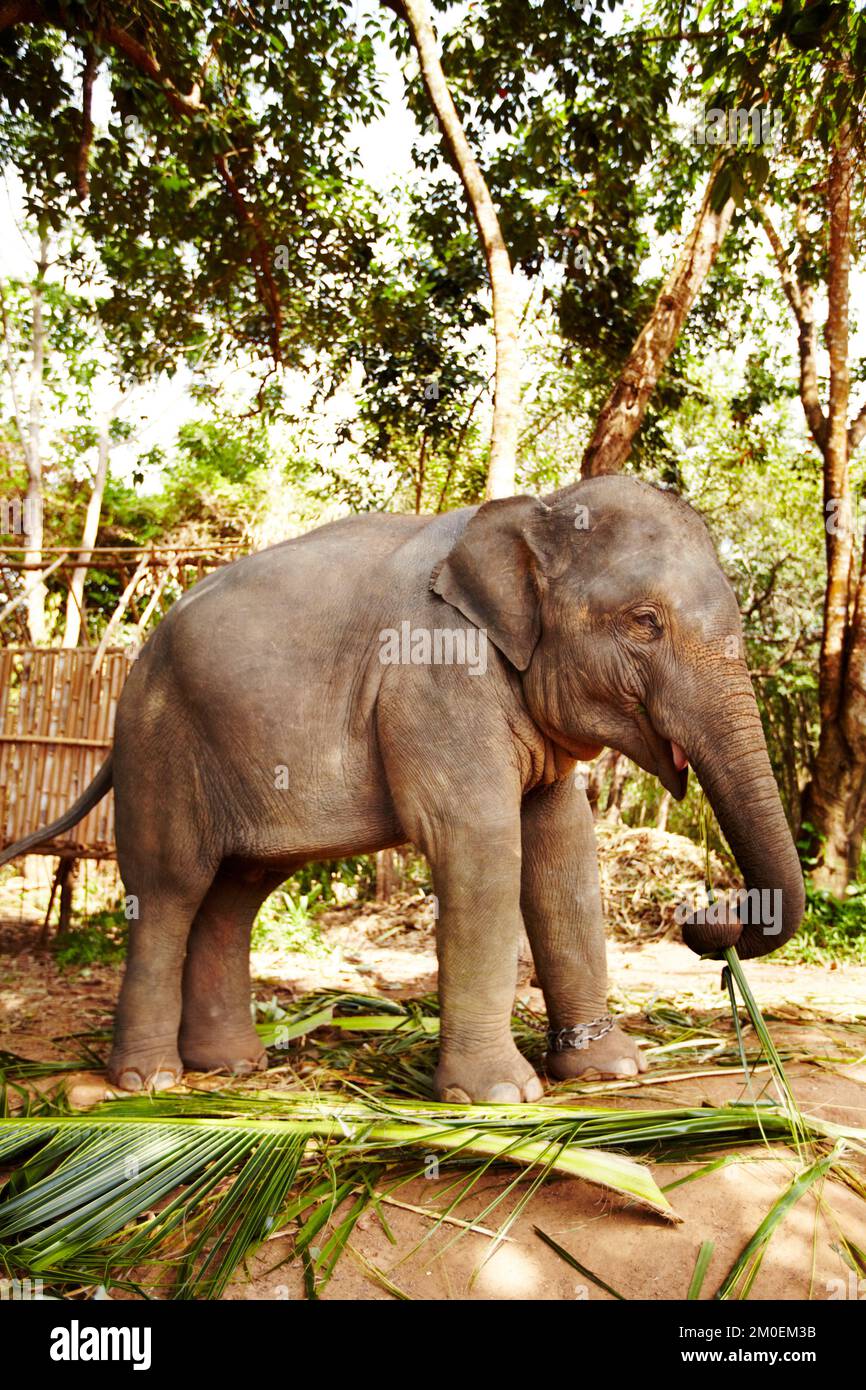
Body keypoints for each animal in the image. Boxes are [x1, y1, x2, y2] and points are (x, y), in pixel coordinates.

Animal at [0, 475, 804, 1101]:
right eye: (645, 622)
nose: (707, 921)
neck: (536, 509)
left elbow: (563, 847)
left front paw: (609, 1071)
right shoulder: (435, 675)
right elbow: (481, 842)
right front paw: (501, 1096)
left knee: (234, 896)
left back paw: (231, 1066)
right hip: (162, 742)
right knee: (172, 886)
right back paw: (152, 1082)